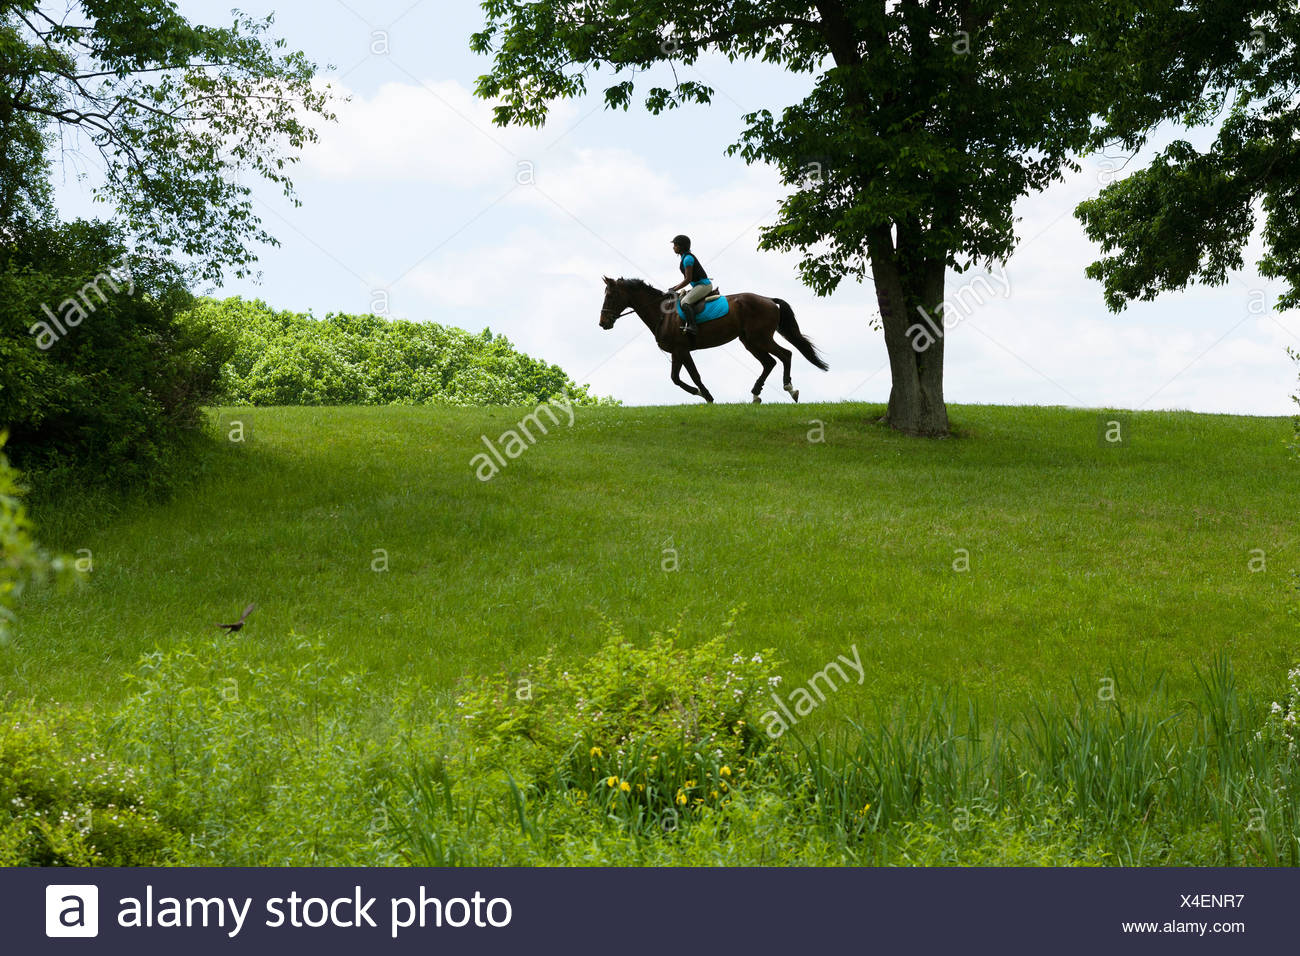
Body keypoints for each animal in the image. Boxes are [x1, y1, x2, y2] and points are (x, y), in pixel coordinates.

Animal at [597, 277, 828, 404]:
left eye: (610, 296)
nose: (603, 323)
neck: (664, 313)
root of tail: (769, 300)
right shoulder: (678, 352)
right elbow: (676, 378)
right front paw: (701, 393)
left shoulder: (681, 350)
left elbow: (692, 376)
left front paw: (705, 395)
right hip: (749, 341)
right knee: (769, 362)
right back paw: (756, 394)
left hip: (760, 338)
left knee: (785, 355)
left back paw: (790, 388)